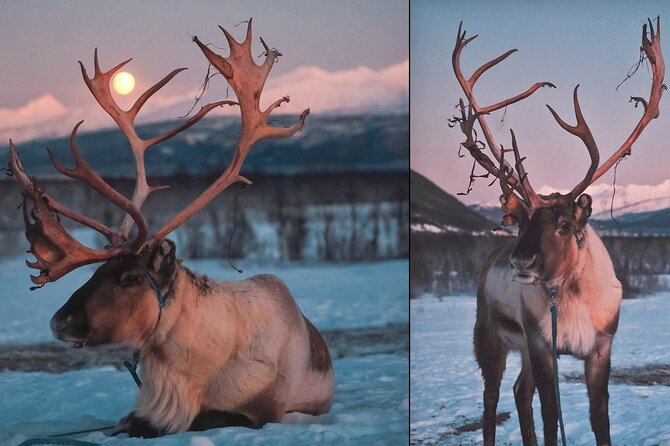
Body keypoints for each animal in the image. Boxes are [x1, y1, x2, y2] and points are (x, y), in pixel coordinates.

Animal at [8, 20, 333, 438]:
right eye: (97, 271)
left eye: (131, 278)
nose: (58, 322)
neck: (188, 368)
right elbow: (126, 422)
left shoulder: (258, 411)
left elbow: (199, 419)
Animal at [450, 18, 665, 446]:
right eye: (523, 222)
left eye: (564, 225)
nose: (521, 260)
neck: (570, 296)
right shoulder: (541, 345)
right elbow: (551, 416)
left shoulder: (600, 348)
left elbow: (600, 419)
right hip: (489, 337)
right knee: (492, 399)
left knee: (519, 393)